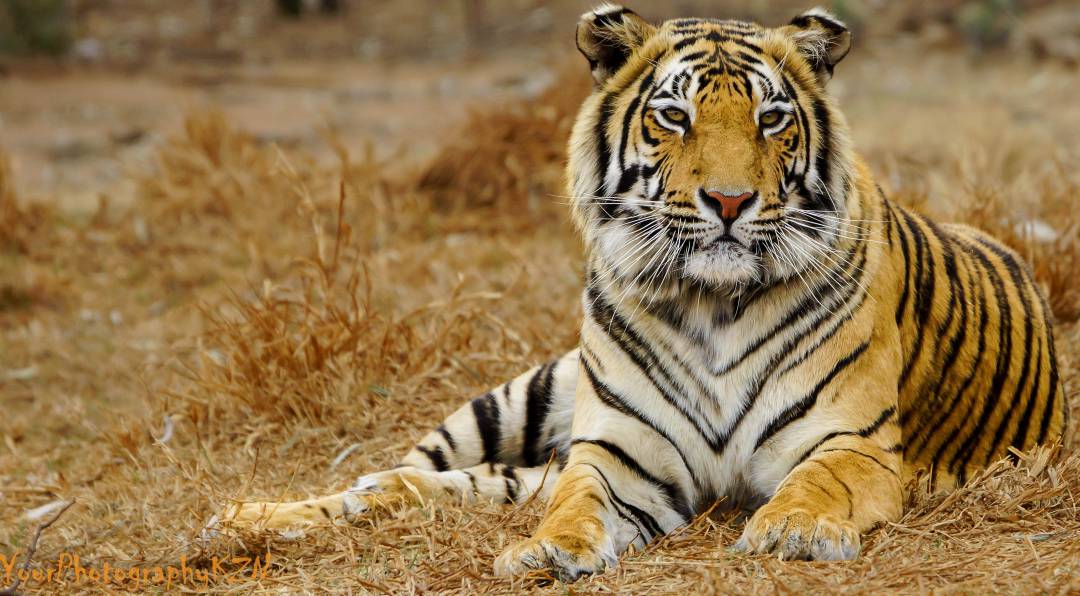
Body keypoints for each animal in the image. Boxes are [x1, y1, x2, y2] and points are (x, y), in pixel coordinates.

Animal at [222, 4, 1069, 582]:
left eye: (772, 119)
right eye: (673, 115)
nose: (729, 201)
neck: (713, 304)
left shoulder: (851, 442)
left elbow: (814, 485)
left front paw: (789, 532)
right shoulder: (616, 454)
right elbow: (576, 503)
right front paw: (546, 551)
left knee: (468, 482)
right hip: (525, 392)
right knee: (410, 471)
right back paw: (245, 519)